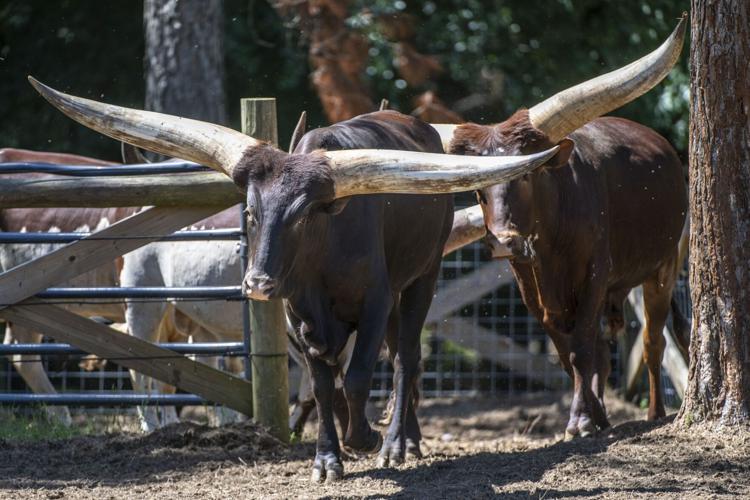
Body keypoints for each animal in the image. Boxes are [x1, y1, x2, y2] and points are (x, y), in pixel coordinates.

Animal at [30, 78, 559, 481]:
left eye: (304, 216)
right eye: (250, 211)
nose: (257, 283)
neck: (320, 263)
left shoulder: (374, 302)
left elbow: (358, 376)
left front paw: (364, 438)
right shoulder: (300, 317)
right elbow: (323, 385)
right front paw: (328, 459)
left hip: (420, 279)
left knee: (406, 356)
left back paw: (396, 443)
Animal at [430, 16, 688, 438]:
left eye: (526, 174)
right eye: (478, 189)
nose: (503, 242)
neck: (550, 246)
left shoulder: (595, 275)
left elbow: (581, 345)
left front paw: (581, 420)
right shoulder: (530, 287)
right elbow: (568, 352)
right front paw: (592, 414)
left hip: (663, 267)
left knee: (652, 343)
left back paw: (654, 412)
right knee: (605, 351)